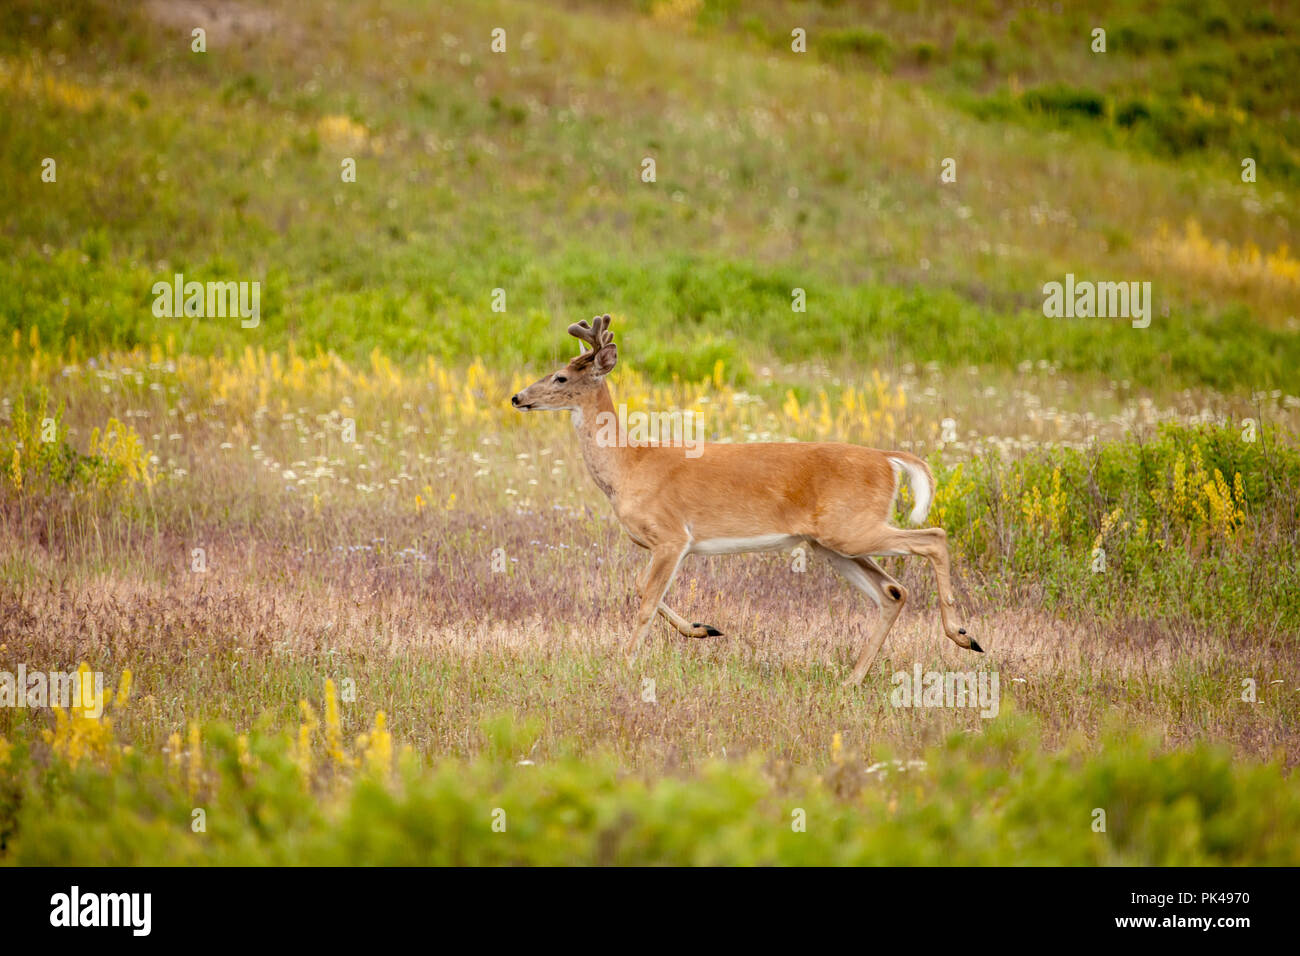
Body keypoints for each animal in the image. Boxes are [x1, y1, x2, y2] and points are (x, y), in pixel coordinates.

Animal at [510, 314, 980, 686]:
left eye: (560, 377)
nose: (517, 397)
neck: (629, 465)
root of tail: (887, 459)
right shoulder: (663, 544)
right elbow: (642, 588)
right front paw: (704, 629)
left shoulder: (671, 536)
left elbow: (644, 598)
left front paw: (624, 664)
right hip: (829, 544)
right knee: (893, 591)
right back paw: (853, 679)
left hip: (851, 529)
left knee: (934, 537)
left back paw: (963, 636)